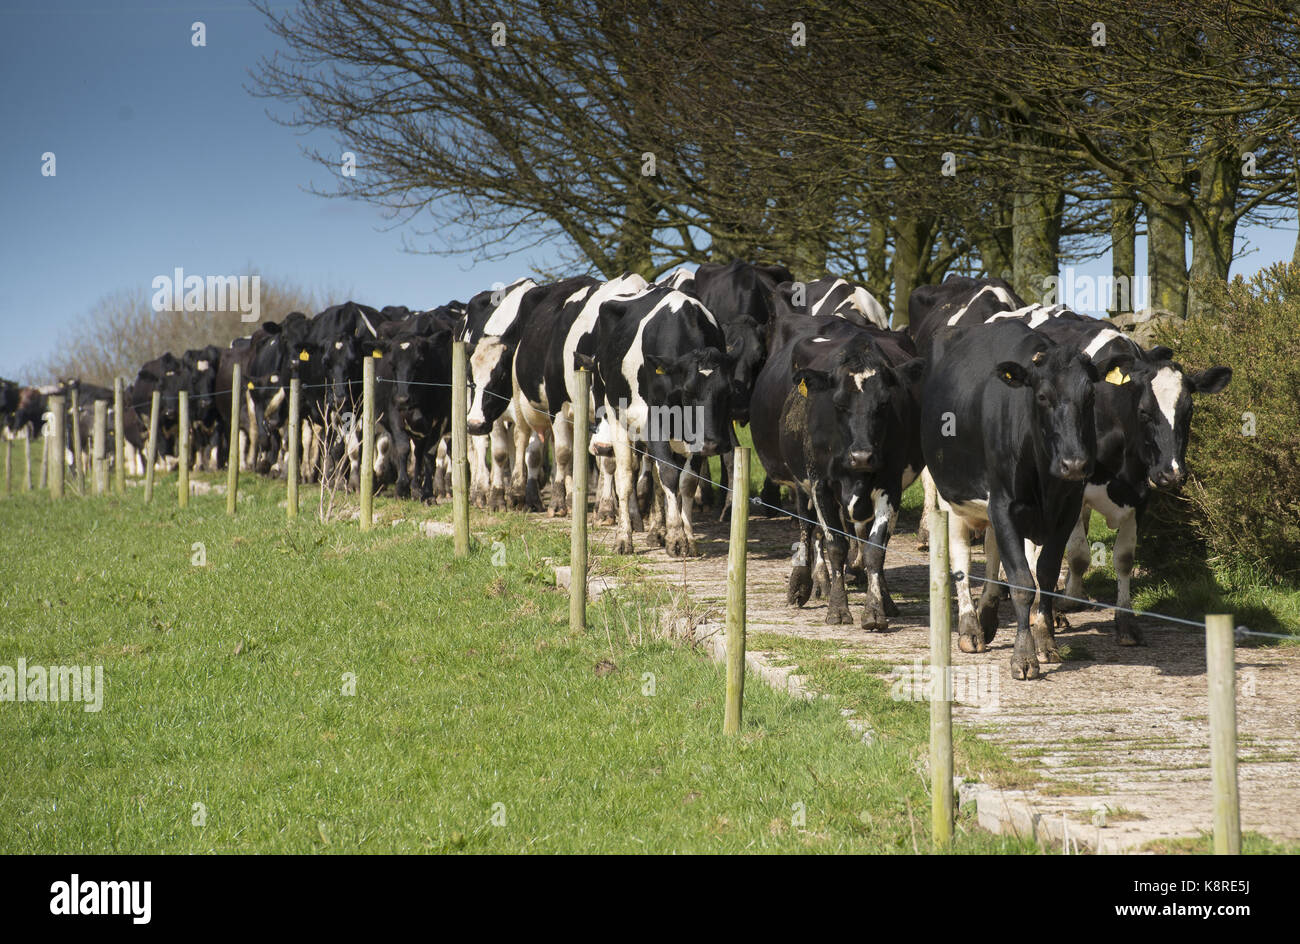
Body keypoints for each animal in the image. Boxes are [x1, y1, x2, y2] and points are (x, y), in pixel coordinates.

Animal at [750, 315, 924, 630]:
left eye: (884, 403)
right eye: (839, 403)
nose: (862, 456)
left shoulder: (890, 485)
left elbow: (875, 548)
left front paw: (875, 609)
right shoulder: (821, 484)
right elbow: (835, 545)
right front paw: (838, 608)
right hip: (801, 484)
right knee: (808, 528)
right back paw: (804, 584)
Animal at [921, 319, 1099, 680]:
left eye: (1089, 396)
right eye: (1042, 396)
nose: (1074, 464)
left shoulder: (1067, 509)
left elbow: (1045, 573)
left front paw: (1045, 639)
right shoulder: (1003, 504)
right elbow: (1021, 581)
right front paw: (1024, 656)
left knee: (991, 551)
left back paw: (987, 614)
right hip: (951, 498)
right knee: (961, 559)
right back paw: (970, 627)